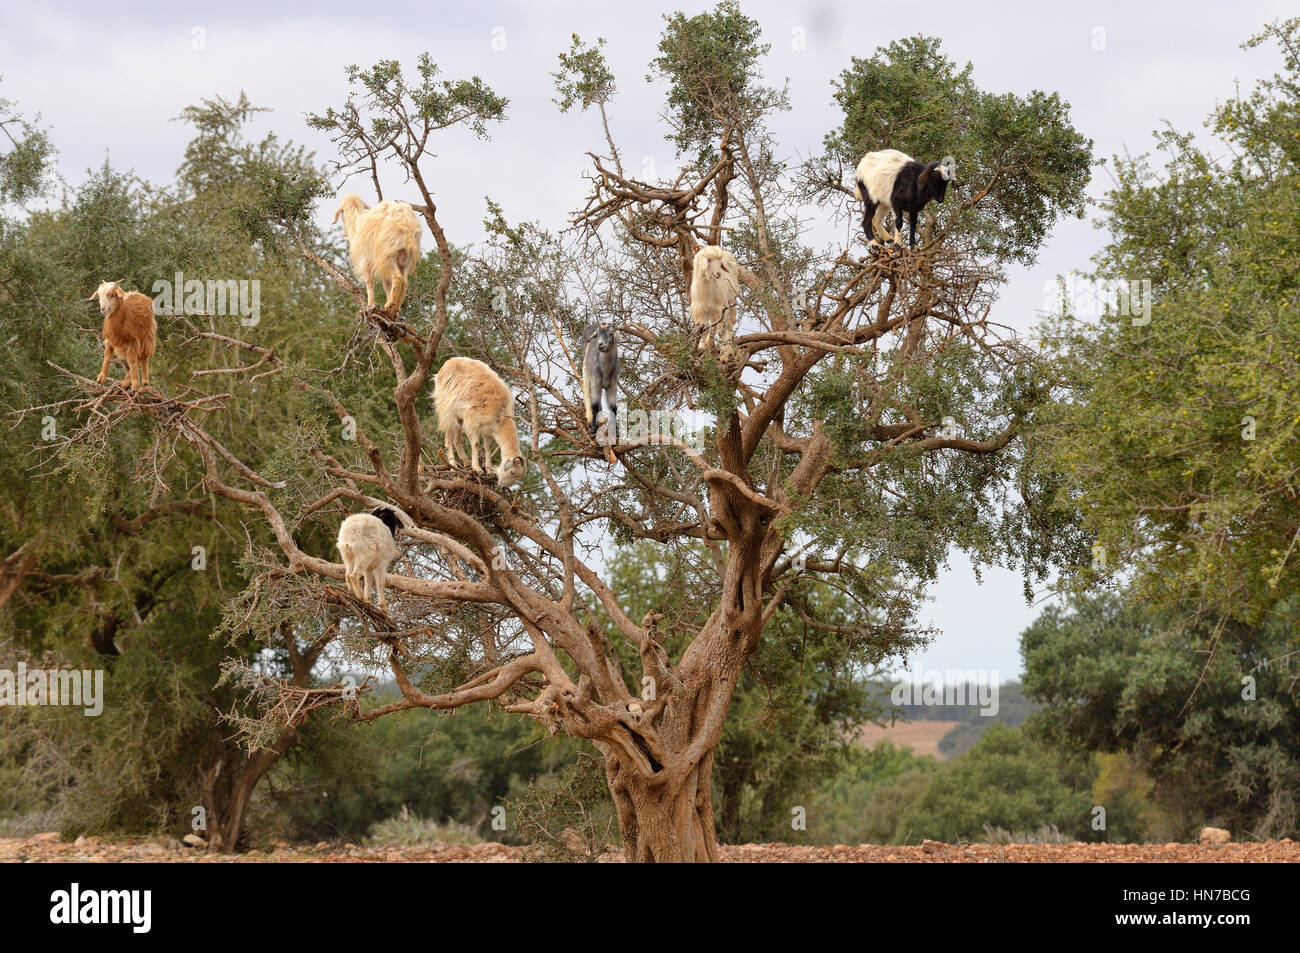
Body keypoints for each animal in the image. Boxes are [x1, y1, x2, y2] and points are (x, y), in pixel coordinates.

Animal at [433, 357, 527, 488]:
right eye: (512, 472)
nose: (501, 486)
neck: (501, 417)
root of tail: (446, 364)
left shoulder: (488, 430)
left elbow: (488, 447)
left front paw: (489, 470)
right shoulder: (472, 421)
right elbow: (476, 443)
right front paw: (477, 469)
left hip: (458, 418)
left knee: (456, 440)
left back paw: (466, 463)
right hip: (447, 411)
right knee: (448, 441)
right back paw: (453, 467)